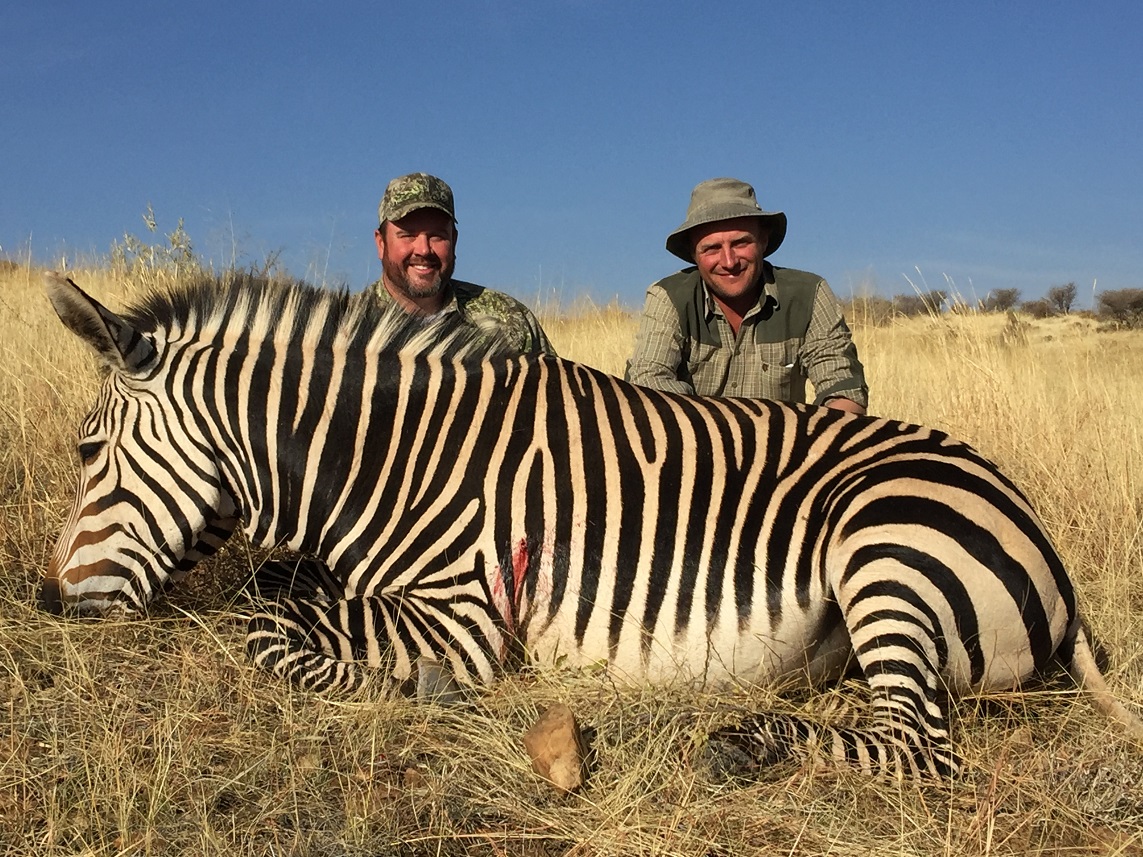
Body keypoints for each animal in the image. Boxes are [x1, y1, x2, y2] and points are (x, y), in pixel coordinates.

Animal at [40, 270, 1142, 780]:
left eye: (88, 451)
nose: (46, 598)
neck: (393, 457)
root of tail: (1039, 538)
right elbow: (277, 594)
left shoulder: (464, 613)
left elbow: (267, 630)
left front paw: (410, 689)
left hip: (881, 541)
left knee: (924, 746)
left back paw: (747, 740)